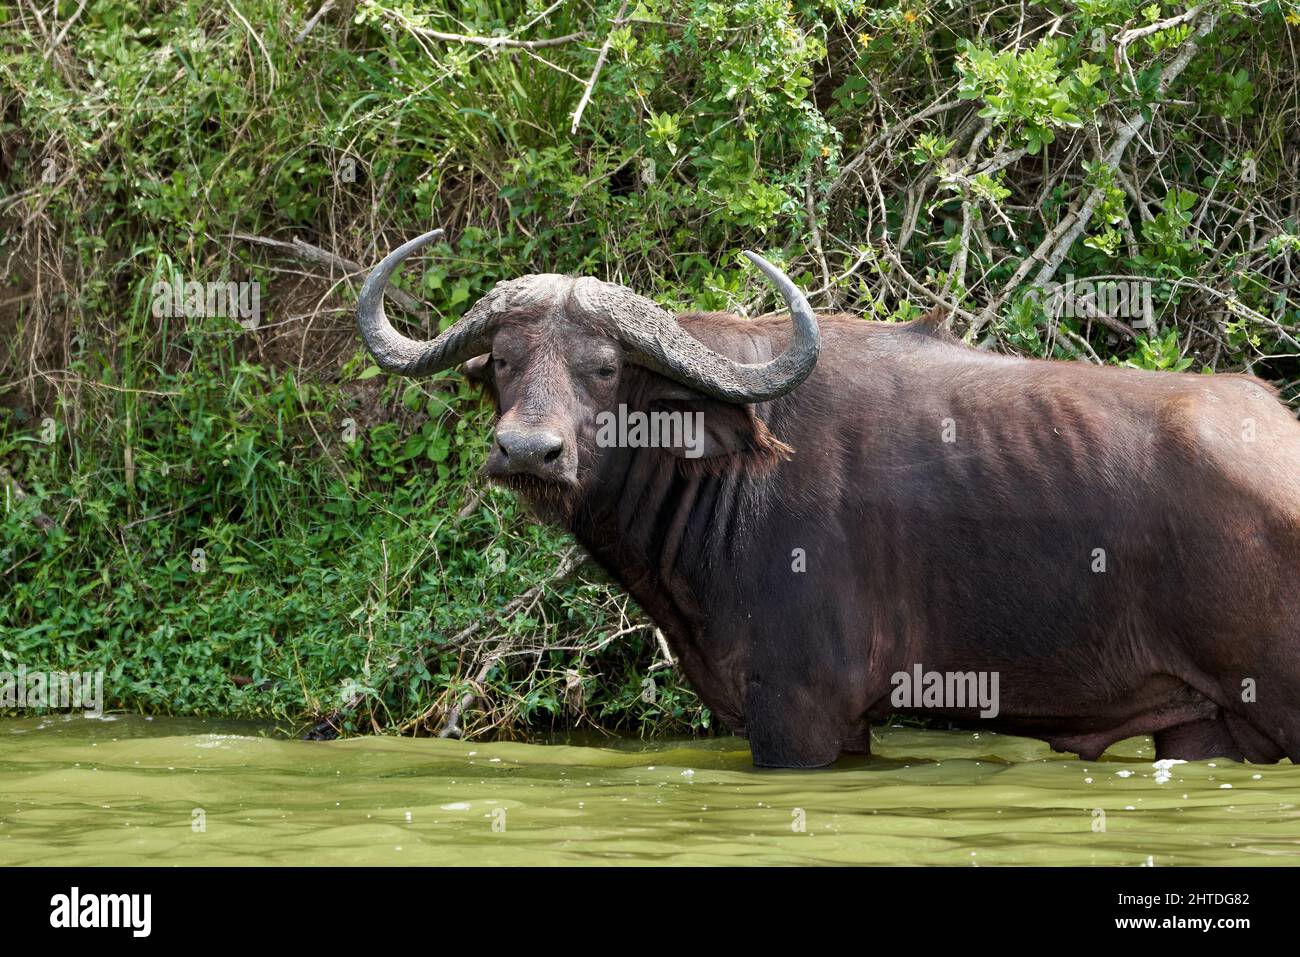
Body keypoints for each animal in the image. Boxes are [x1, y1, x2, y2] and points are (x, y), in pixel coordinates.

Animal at [358, 228, 1300, 768]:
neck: (731, 475)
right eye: (504, 359)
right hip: (1205, 726)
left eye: (605, 367)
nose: (528, 450)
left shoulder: (799, 711)